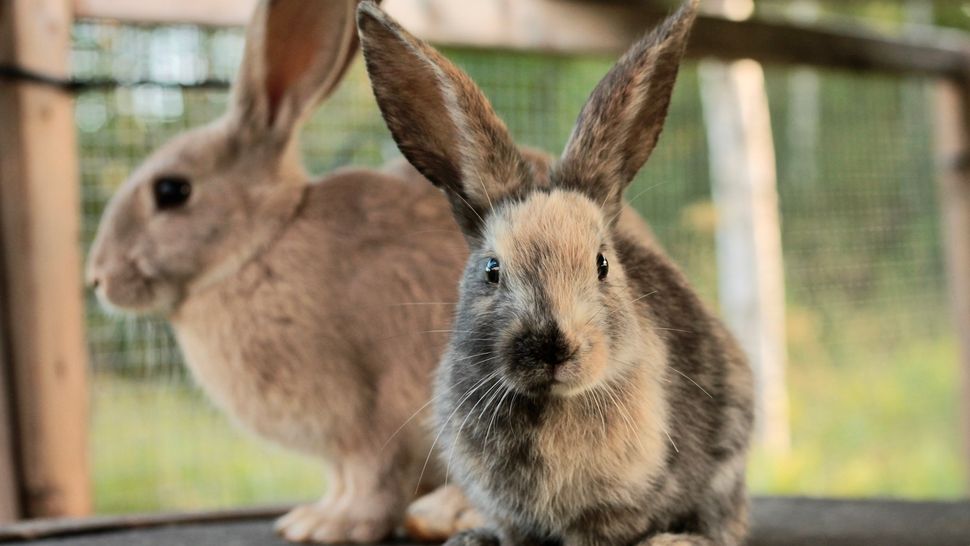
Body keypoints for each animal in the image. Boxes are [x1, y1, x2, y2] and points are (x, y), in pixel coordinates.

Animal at [86, 0, 474, 542]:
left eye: (171, 191)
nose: (97, 278)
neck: (259, 247)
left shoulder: (371, 416)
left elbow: (373, 477)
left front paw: (332, 526)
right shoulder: (340, 446)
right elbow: (342, 478)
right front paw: (311, 517)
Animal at [357, 0, 755, 544]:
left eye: (602, 263)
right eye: (492, 269)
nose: (552, 346)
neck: (550, 404)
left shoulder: (611, 514)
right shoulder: (510, 513)